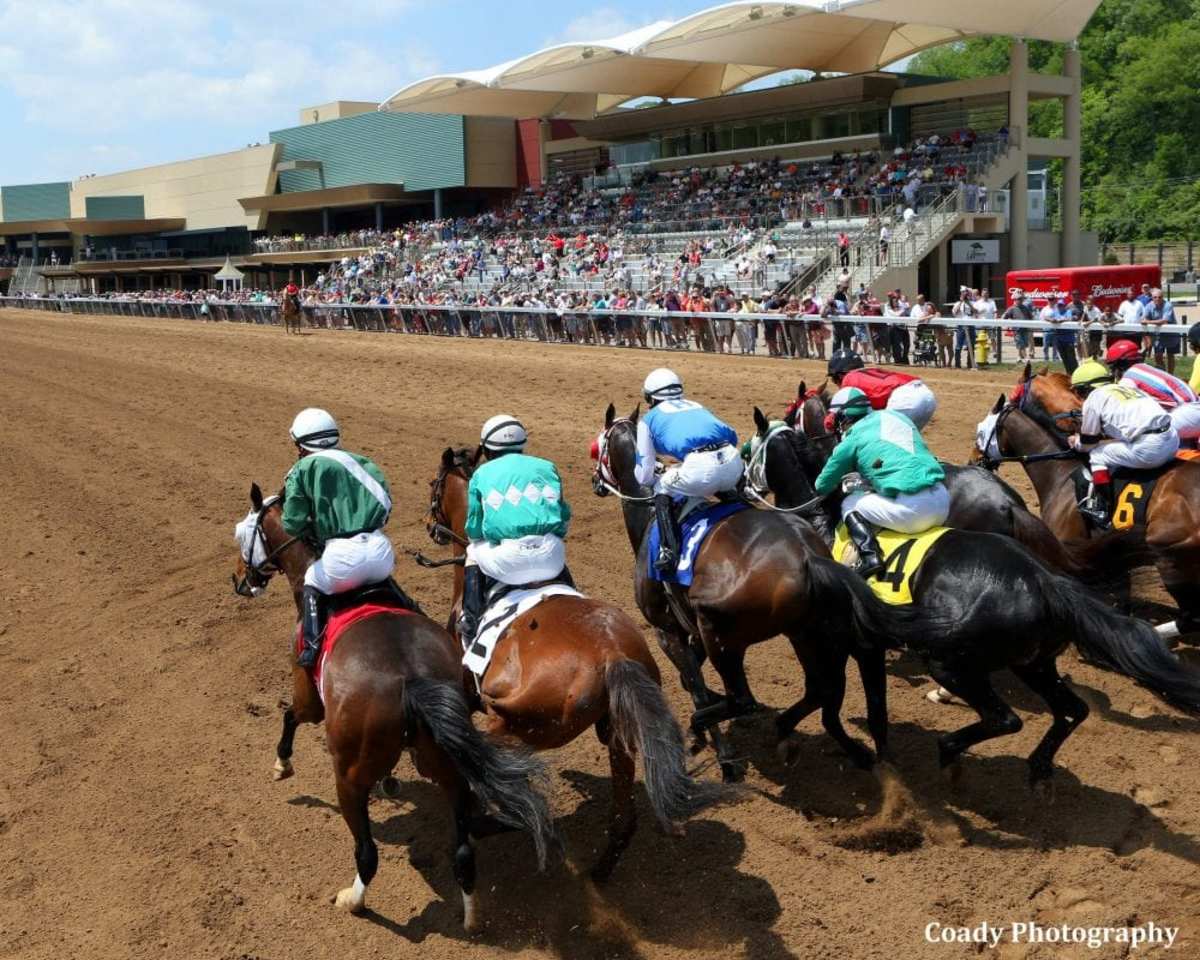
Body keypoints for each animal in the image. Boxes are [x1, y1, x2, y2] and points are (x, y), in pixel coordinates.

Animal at [232, 483, 556, 929]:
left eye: (245, 533)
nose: (239, 580)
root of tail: (412, 678)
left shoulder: (309, 697)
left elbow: (289, 715)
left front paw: (283, 763)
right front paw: (389, 780)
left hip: (349, 776)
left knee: (367, 853)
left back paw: (353, 900)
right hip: (448, 767)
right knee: (463, 852)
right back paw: (471, 915)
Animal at [424, 446, 725, 880]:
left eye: (434, 484)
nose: (430, 525)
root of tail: (613, 654)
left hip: (517, 730)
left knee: (500, 783)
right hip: (618, 732)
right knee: (623, 819)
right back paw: (599, 871)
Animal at [594, 403, 944, 782]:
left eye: (599, 447)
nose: (596, 481)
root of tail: (807, 557)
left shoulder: (668, 630)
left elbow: (696, 687)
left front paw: (721, 754)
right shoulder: (692, 631)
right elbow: (692, 682)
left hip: (723, 635)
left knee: (745, 698)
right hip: (803, 632)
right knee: (823, 690)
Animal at [750, 412, 1200, 789]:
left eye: (751, 449)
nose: (748, 488)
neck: (823, 524)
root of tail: (1047, 582)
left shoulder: (849, 642)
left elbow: (851, 703)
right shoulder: (863, 644)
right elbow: (853, 705)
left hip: (952, 663)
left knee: (1005, 718)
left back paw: (950, 749)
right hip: (1033, 663)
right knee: (1072, 710)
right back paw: (1038, 768)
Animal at [973, 364, 1200, 637]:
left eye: (980, 432)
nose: (973, 460)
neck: (1060, 473)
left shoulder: (1068, 547)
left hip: (1170, 555)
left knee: (1189, 618)